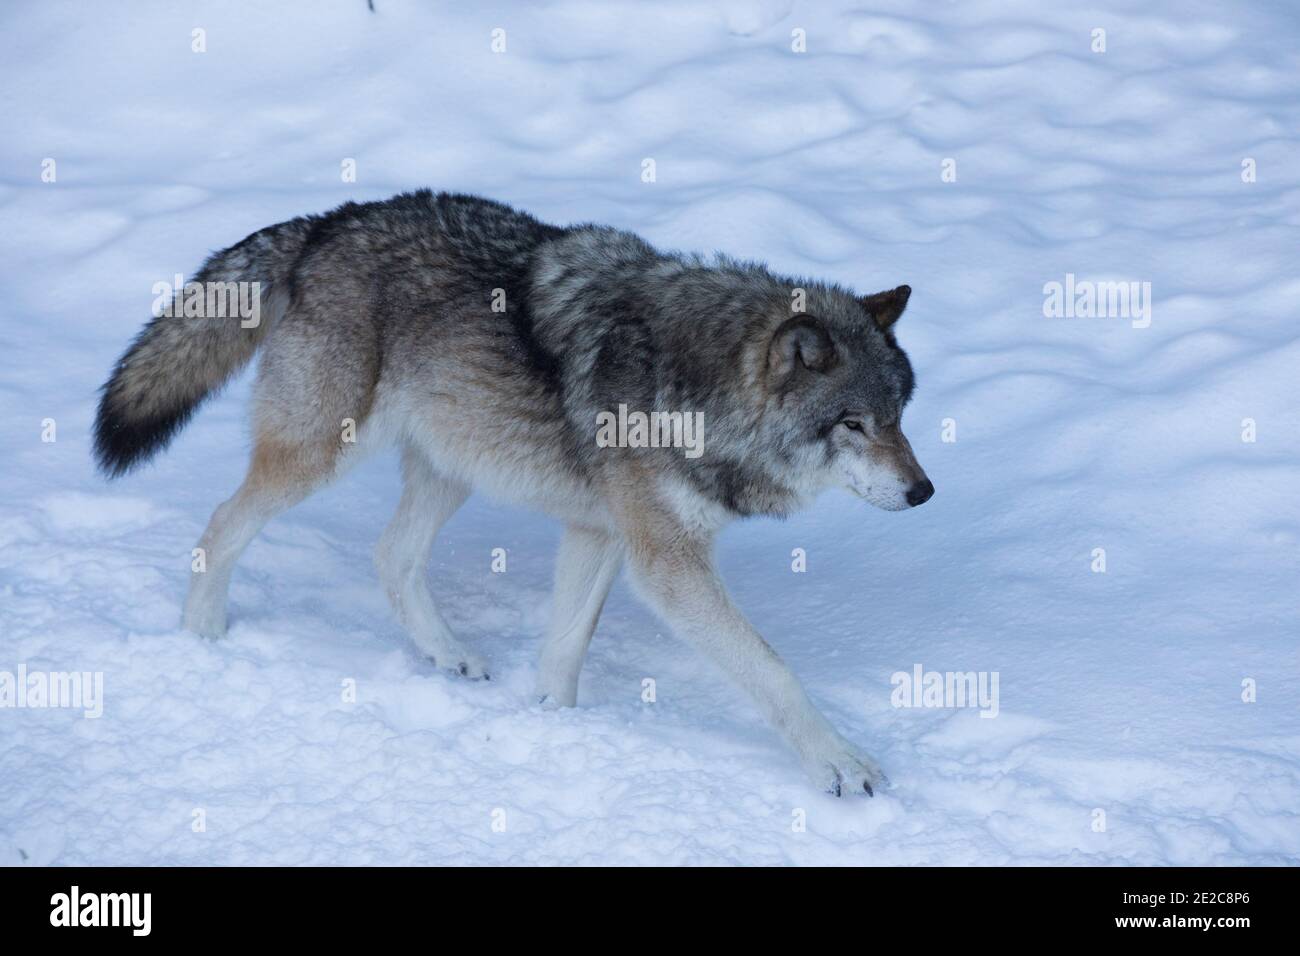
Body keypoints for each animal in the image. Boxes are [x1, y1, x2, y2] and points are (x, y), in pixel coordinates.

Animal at [94, 190, 933, 796]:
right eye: (853, 424)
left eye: (900, 415)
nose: (925, 492)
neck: (698, 389)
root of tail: (329, 222)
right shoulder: (664, 560)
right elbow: (773, 670)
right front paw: (842, 764)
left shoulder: (600, 535)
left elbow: (563, 655)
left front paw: (554, 732)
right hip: (321, 455)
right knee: (221, 523)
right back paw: (202, 637)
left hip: (453, 466)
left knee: (391, 556)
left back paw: (449, 656)